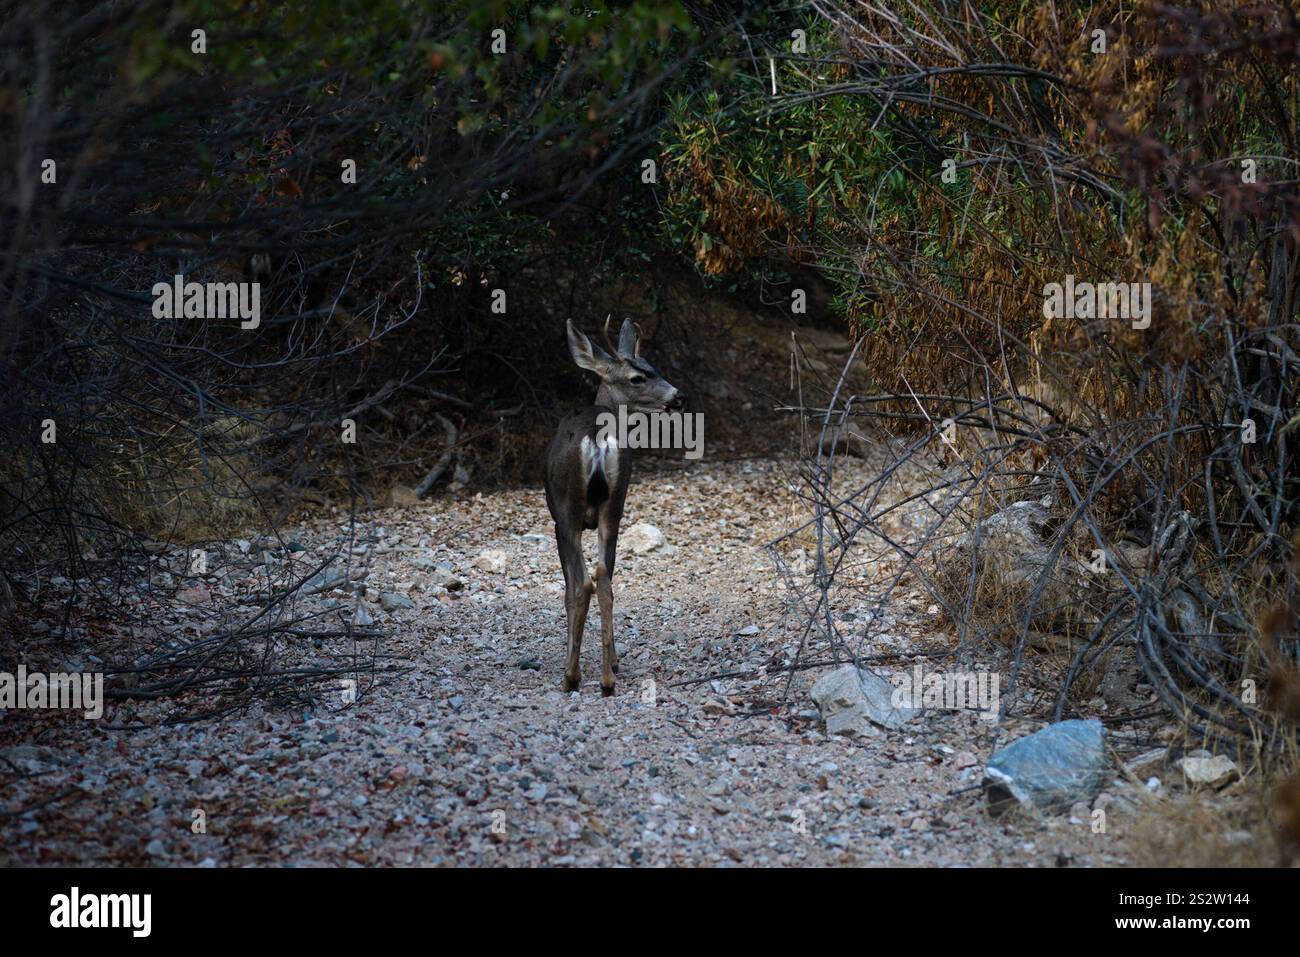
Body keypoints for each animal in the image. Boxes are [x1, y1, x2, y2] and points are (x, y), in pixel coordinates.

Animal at [544, 316, 681, 696]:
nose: (677, 396)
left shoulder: (559, 520)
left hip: (569, 510)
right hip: (615, 505)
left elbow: (568, 588)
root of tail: (597, 436)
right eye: (639, 376)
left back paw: (572, 676)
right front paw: (614, 660)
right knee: (604, 577)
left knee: (582, 583)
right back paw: (608, 676)